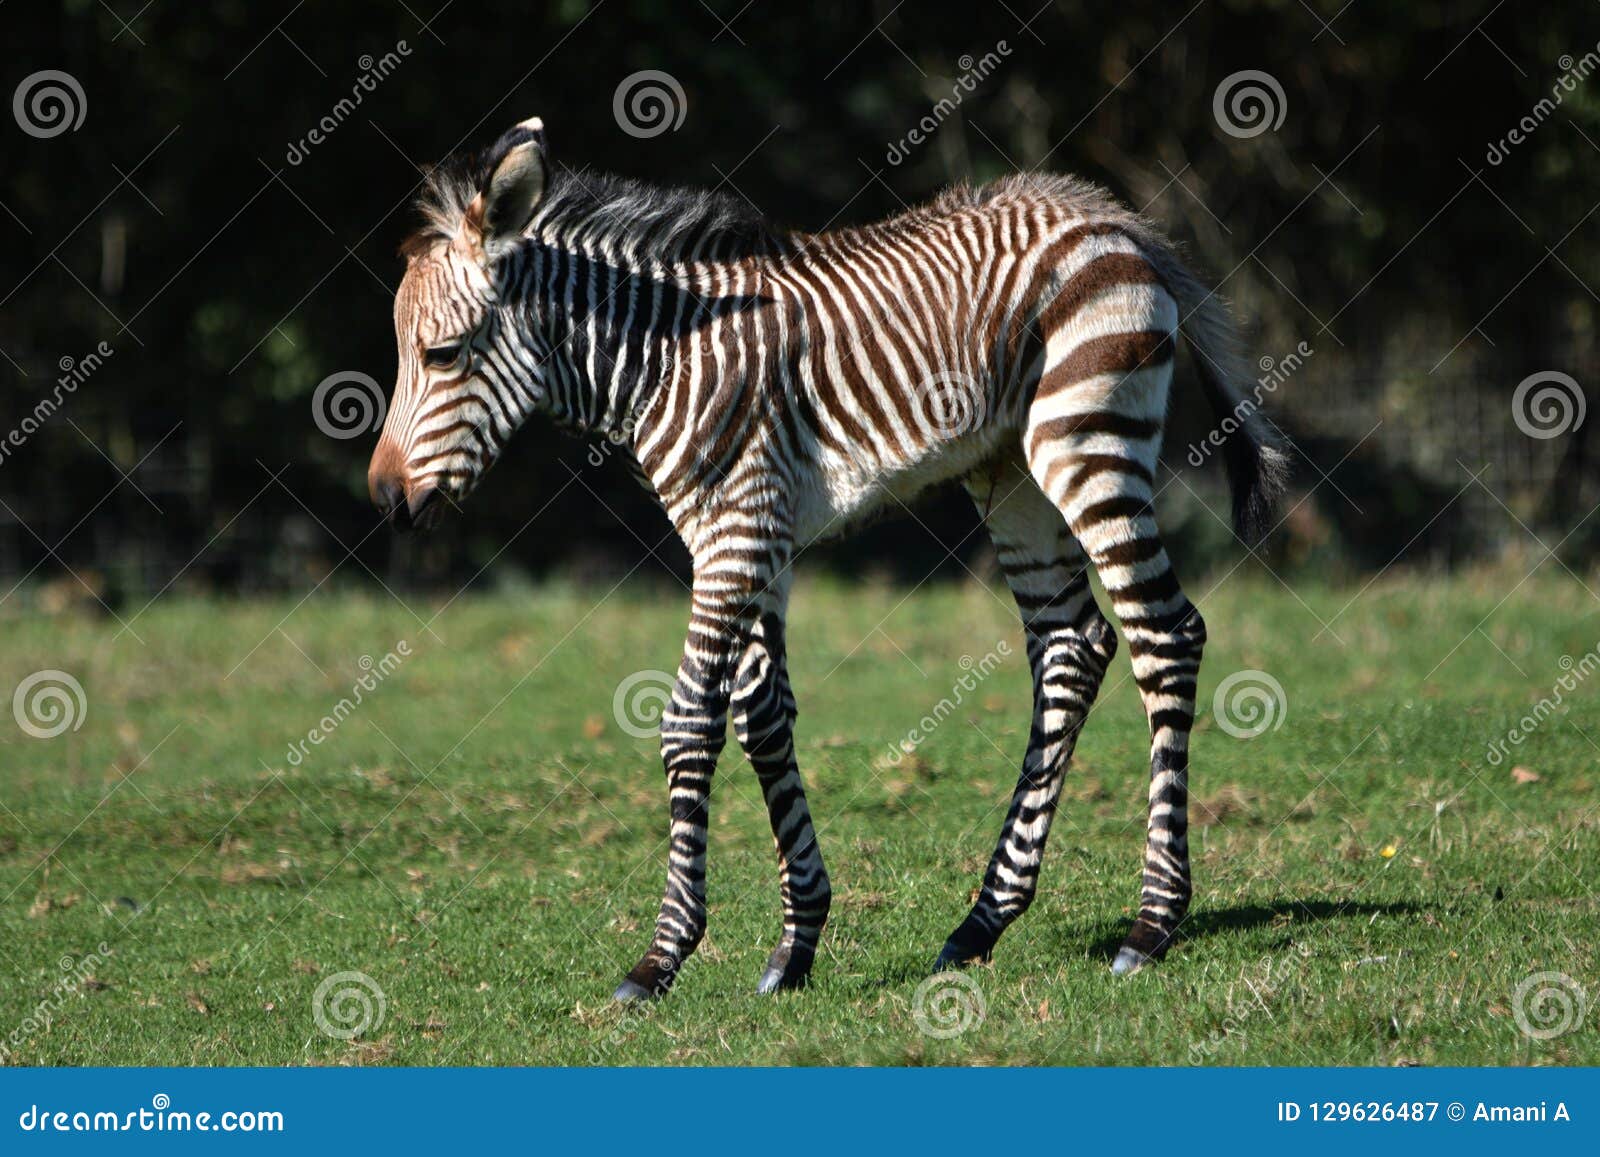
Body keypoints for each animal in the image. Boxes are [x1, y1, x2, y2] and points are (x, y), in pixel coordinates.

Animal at [368, 117, 1289, 999]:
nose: (383, 500)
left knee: (1164, 636)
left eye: (441, 354)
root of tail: (1111, 217)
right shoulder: (753, 538)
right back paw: (982, 921)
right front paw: (796, 942)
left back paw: (1152, 922)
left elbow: (689, 721)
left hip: (1088, 439)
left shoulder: (735, 534)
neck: (665, 362)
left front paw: (662, 957)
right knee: (1072, 647)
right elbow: (764, 717)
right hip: (1013, 474)